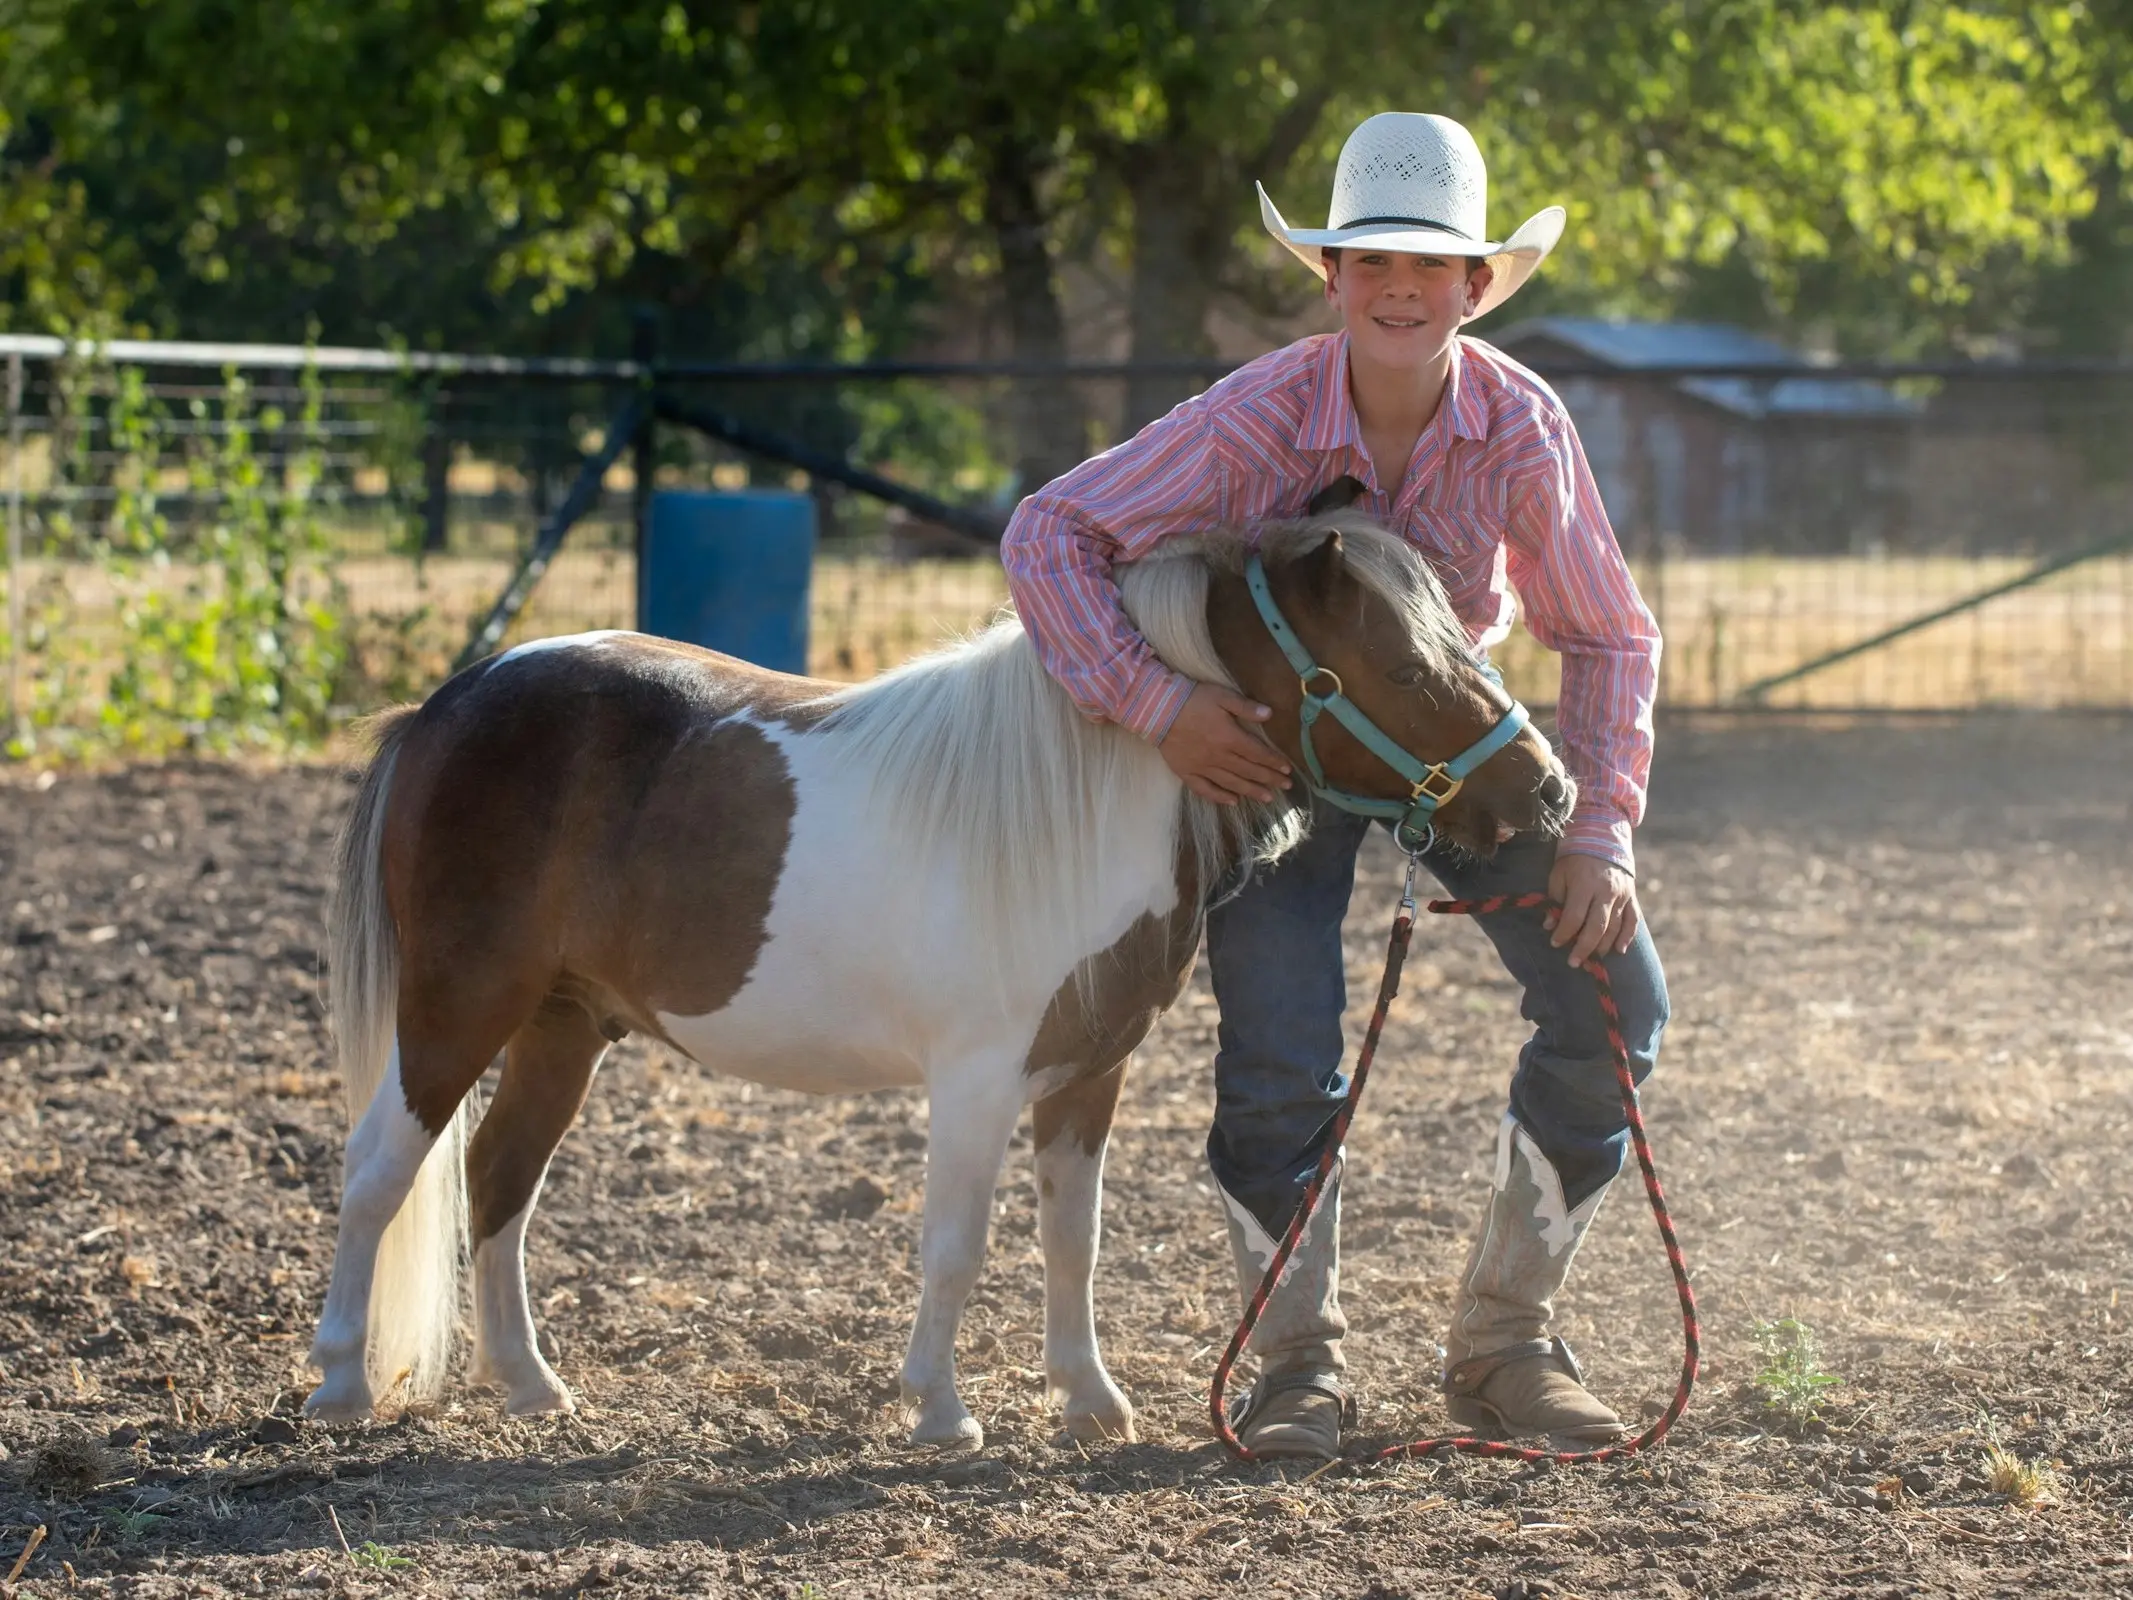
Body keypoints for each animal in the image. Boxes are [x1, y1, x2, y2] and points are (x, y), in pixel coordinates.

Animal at [302, 510, 1575, 1449]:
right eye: (1403, 664)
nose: (1551, 790)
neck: (1076, 803)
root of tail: (451, 702)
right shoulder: (975, 1079)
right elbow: (955, 1243)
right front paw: (941, 1410)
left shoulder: (1089, 1076)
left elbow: (1074, 1238)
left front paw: (1089, 1401)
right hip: (458, 1005)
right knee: (379, 1171)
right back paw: (340, 1384)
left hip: (564, 1022)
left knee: (499, 1177)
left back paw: (530, 1385)